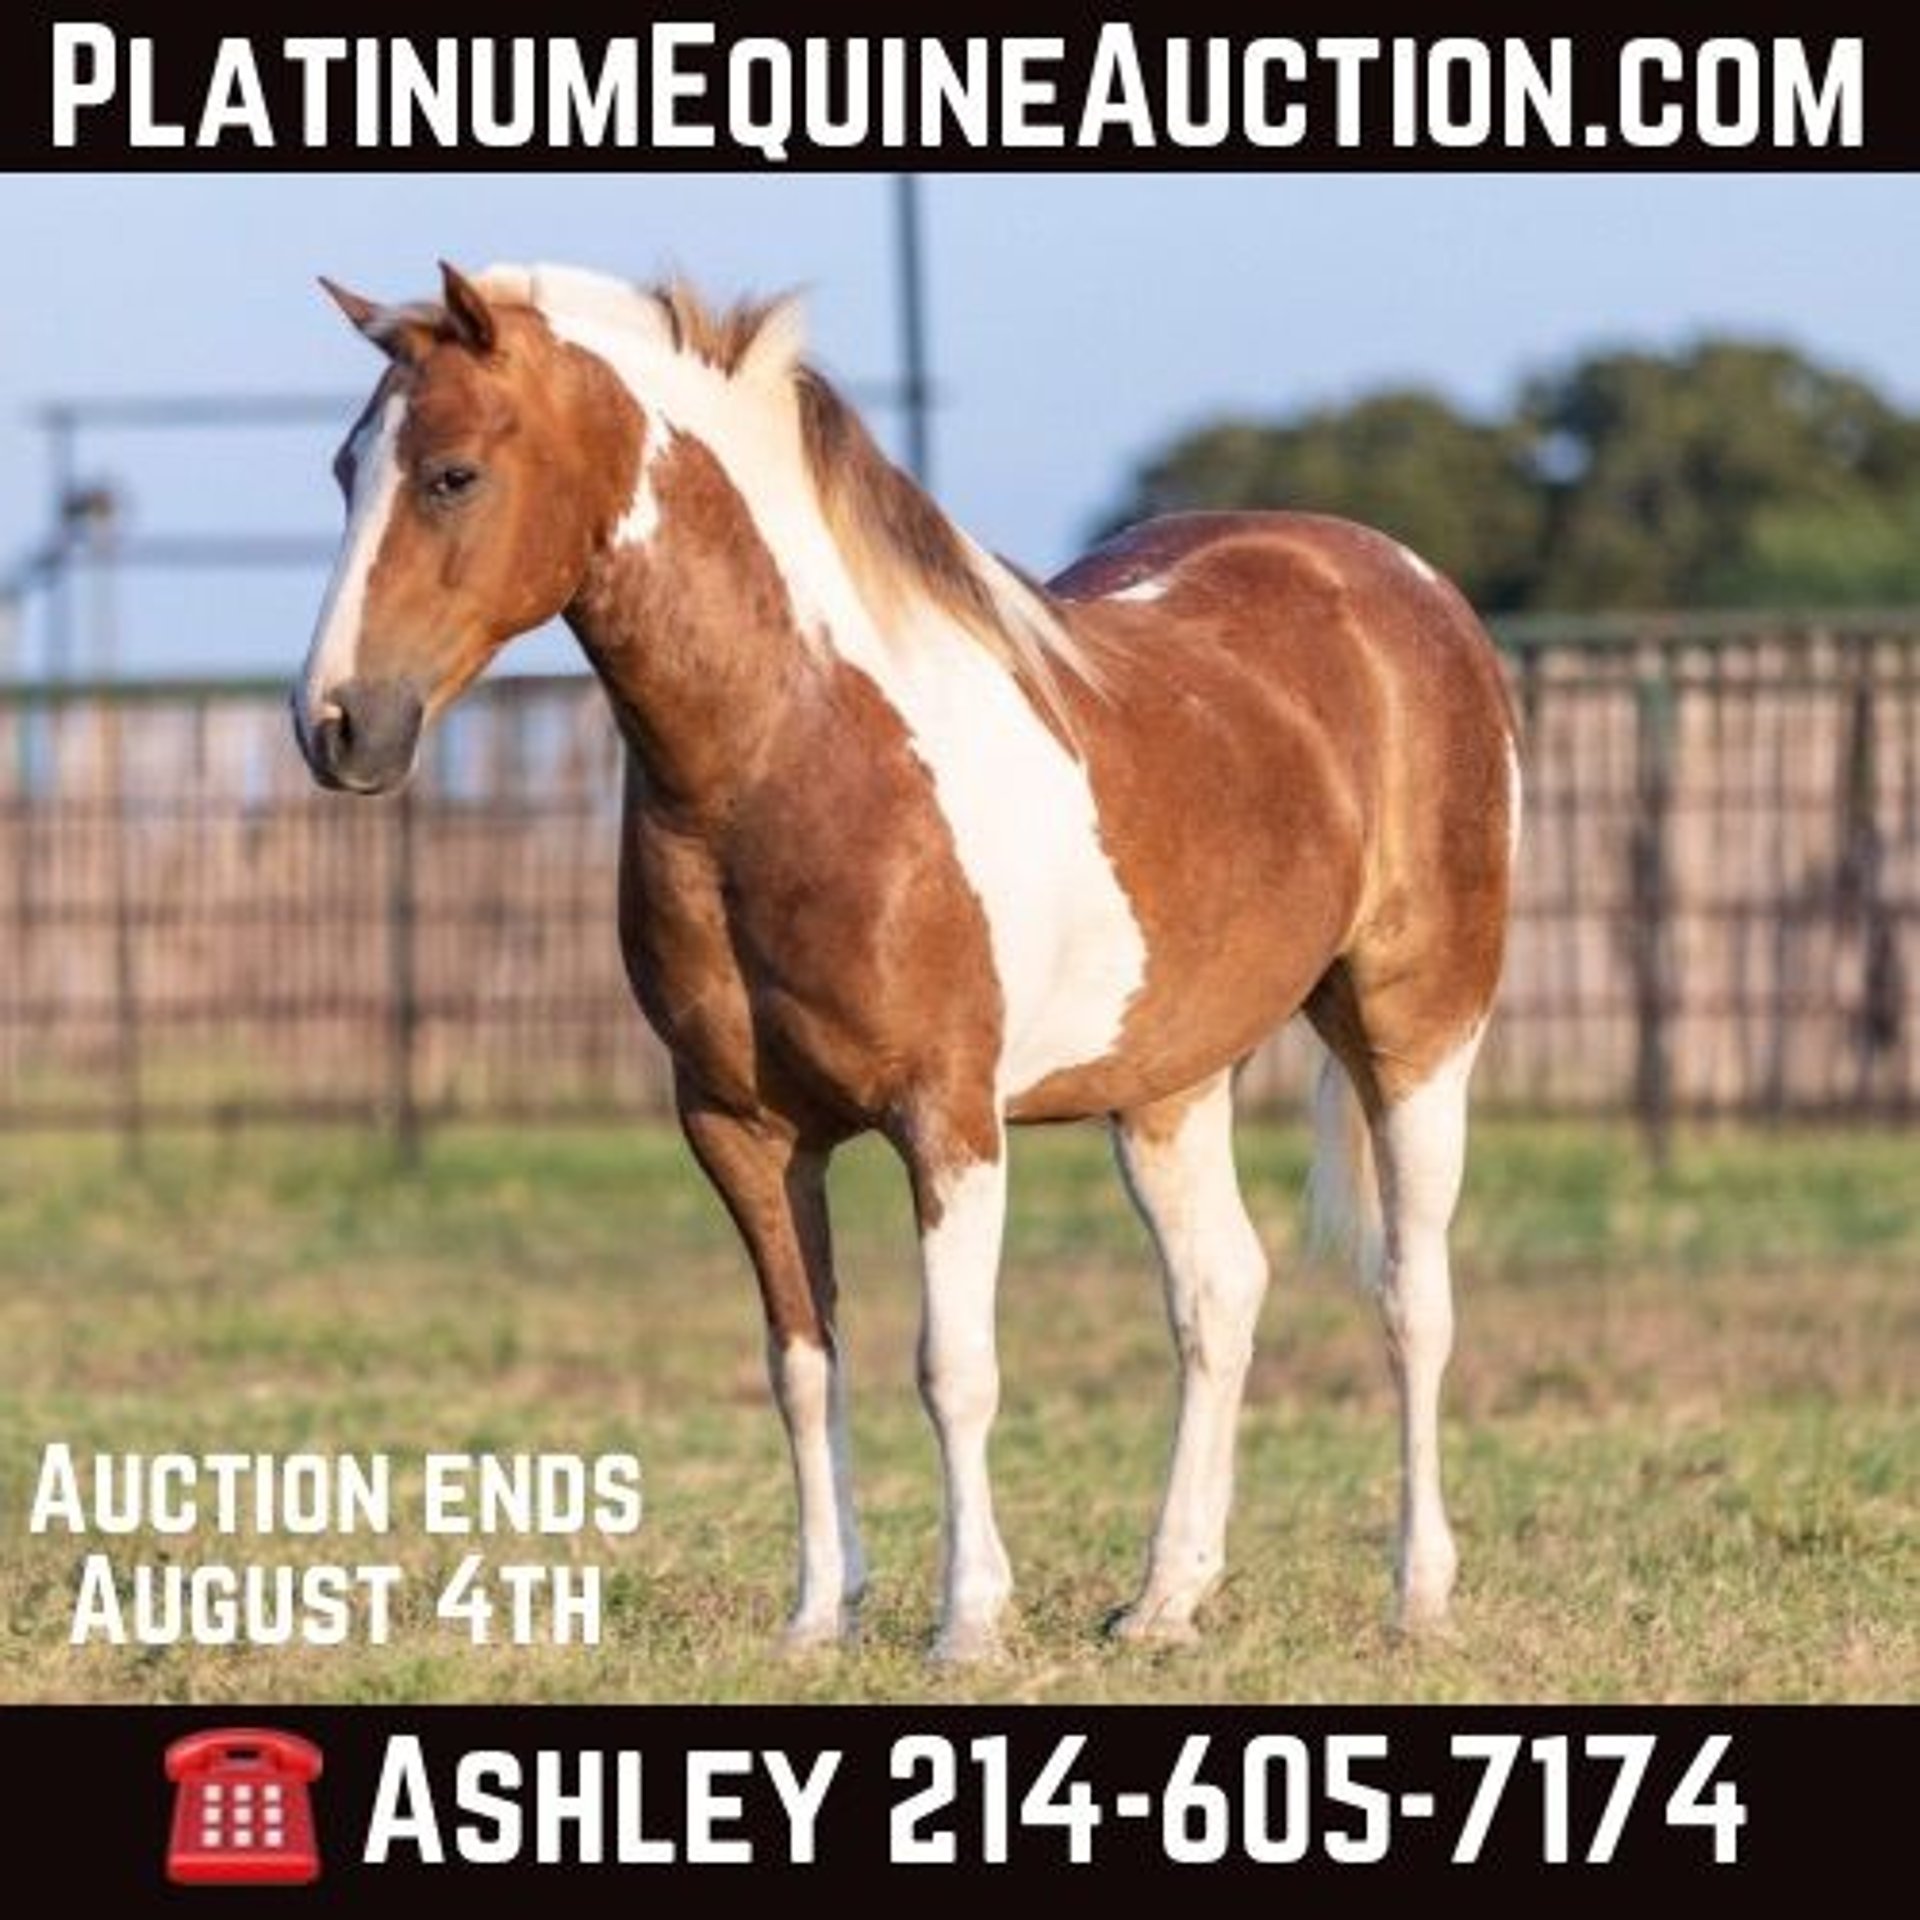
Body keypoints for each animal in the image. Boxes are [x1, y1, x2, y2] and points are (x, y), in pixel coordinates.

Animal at [292, 261, 1519, 1663]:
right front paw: (818, 1616)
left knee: (1412, 1297)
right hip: (1166, 1081)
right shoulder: (742, 1129)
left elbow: (954, 1369)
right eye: (345, 469)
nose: (335, 726)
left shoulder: (949, 1121)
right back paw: (1165, 1600)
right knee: (1220, 1295)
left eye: (451, 475)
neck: (797, 752)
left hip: (1417, 1034)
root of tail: (1401, 584)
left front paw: (968, 1623)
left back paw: (1418, 1596)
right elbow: (803, 1363)